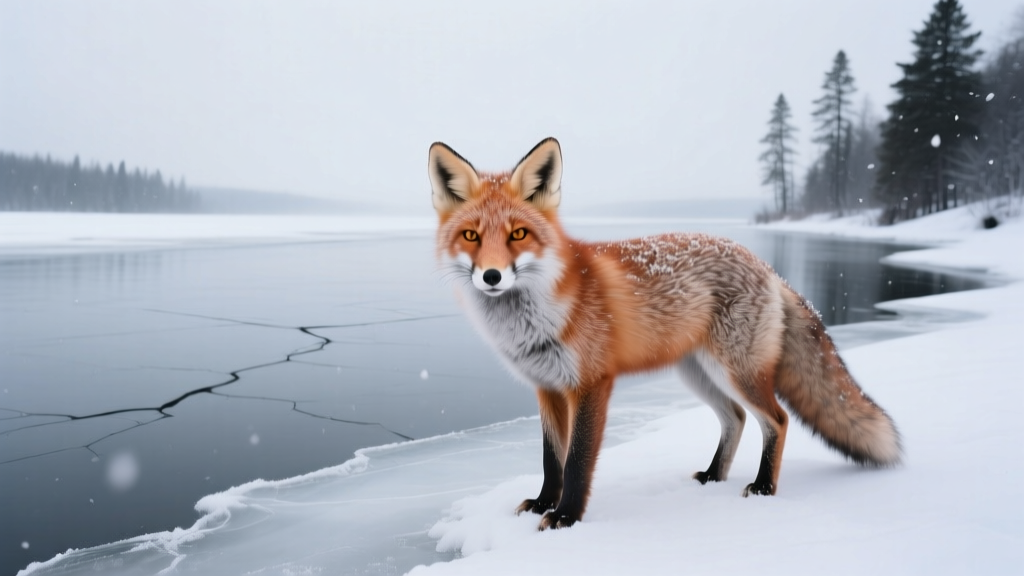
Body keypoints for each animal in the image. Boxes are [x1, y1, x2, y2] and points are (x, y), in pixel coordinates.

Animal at [429, 137, 901, 530]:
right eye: (471, 236)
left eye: (518, 234)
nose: (491, 276)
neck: (536, 319)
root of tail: (768, 267)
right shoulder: (547, 387)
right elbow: (551, 460)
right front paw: (545, 503)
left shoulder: (591, 384)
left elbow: (577, 461)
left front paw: (567, 518)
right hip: (698, 374)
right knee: (736, 418)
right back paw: (713, 476)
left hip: (737, 372)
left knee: (777, 420)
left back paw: (764, 487)